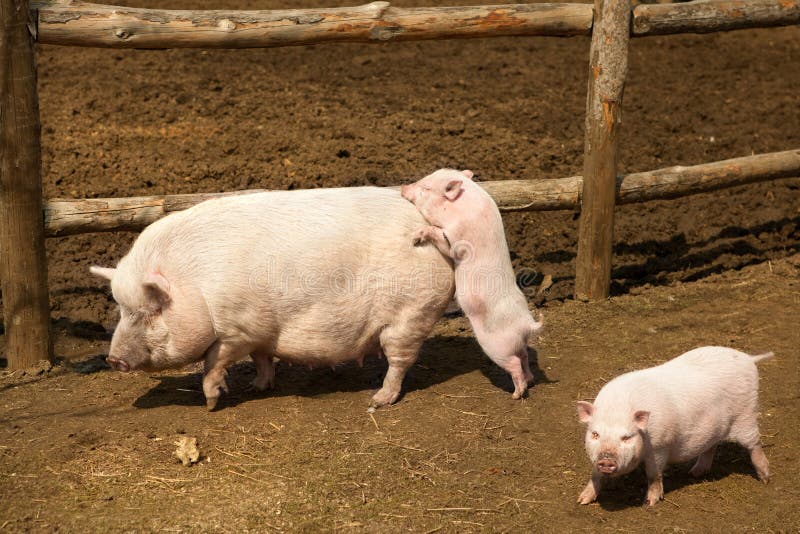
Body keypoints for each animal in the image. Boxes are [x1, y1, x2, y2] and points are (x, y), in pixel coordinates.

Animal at [91, 187, 455, 410]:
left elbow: (214, 362)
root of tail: (435, 229)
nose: (113, 359)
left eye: (152, 311)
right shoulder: (259, 331)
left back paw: (378, 400)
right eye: (122, 309)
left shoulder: (237, 329)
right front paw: (257, 387)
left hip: (411, 314)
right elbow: (262, 358)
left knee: (399, 362)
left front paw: (211, 402)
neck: (196, 286)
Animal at [400, 169, 543, 399]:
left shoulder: (455, 240)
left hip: (497, 346)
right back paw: (529, 381)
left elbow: (444, 242)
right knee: (524, 357)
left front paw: (417, 236)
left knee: (514, 363)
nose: (403, 187)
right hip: (518, 344)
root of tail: (527, 325)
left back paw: (516, 394)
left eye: (427, 188)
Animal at [576, 346, 773, 506]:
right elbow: (595, 475)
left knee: (754, 444)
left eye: (626, 437)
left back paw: (765, 479)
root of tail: (748, 358)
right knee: (711, 446)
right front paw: (582, 500)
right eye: (595, 434)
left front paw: (650, 503)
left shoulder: (660, 445)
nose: (606, 460)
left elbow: (653, 474)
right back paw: (694, 473)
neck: (616, 409)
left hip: (746, 414)